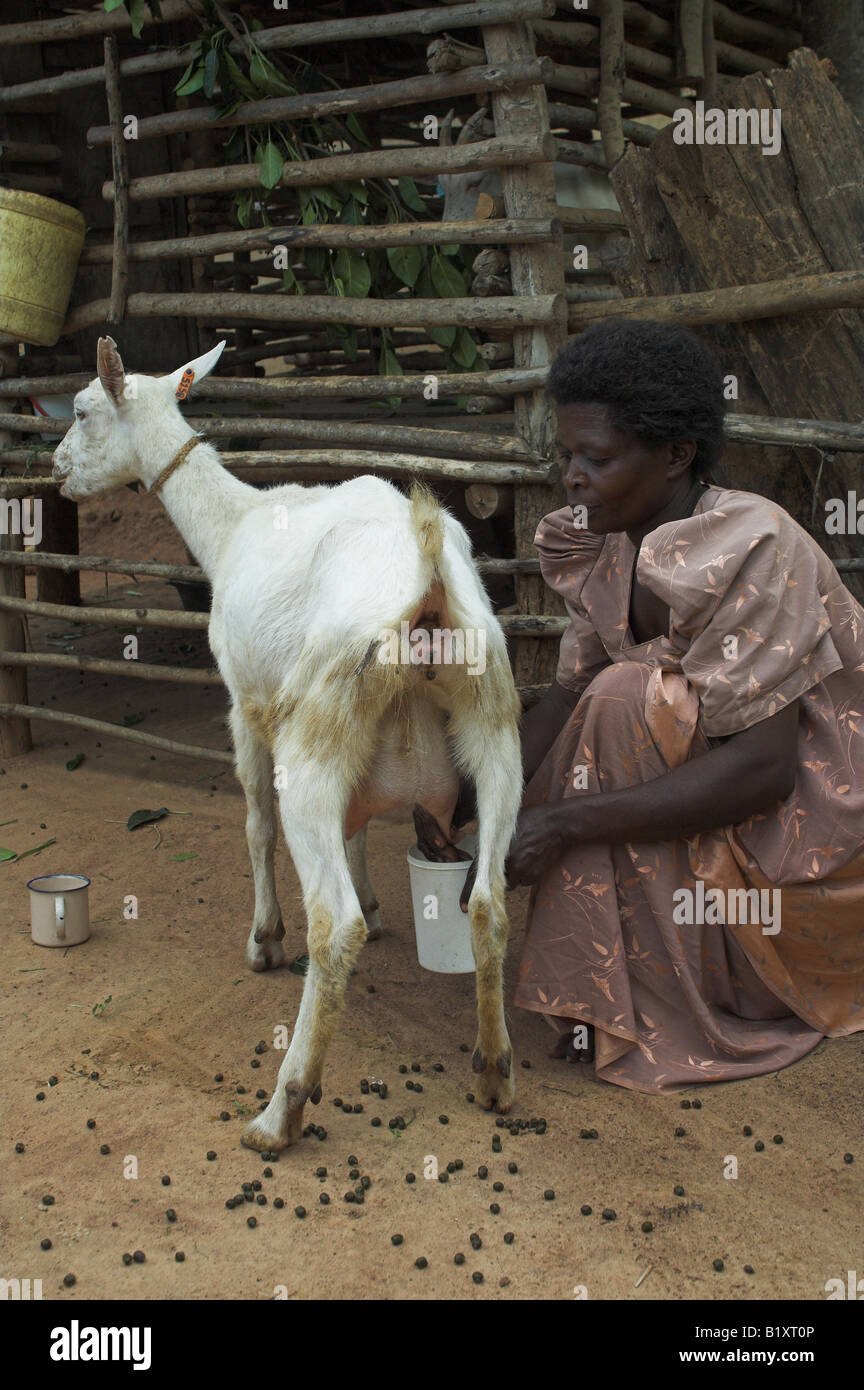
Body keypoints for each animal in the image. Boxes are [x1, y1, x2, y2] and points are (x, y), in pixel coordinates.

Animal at [51, 337, 524, 1150]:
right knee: (489, 901)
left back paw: (284, 1107)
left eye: (82, 410)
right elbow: (358, 832)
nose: (52, 467)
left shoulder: (244, 703)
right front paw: (375, 893)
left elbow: (254, 825)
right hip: (492, 726)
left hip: (314, 734)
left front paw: (264, 941)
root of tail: (427, 571)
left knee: (334, 923)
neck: (232, 527)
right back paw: (492, 1073)